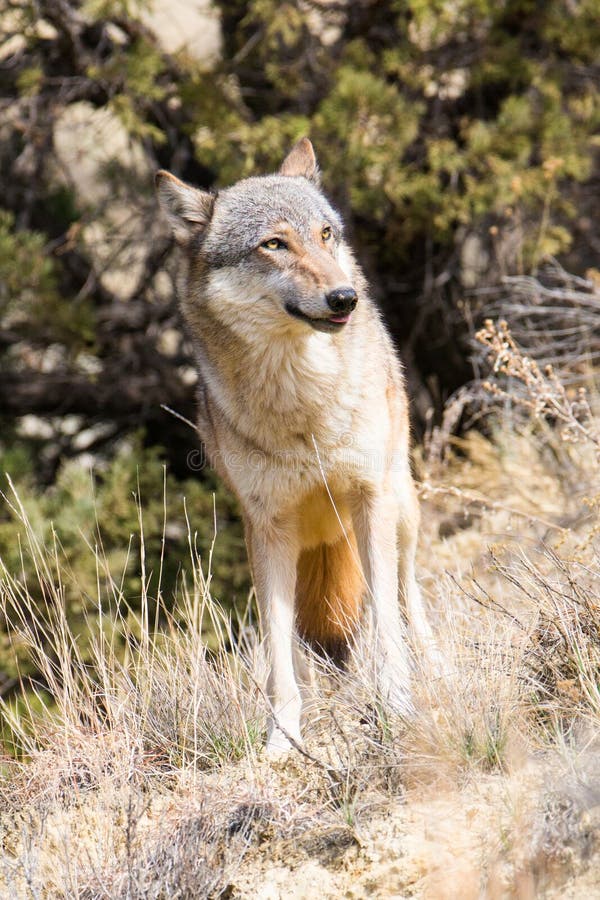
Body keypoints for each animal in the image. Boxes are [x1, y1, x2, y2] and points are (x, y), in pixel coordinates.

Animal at [156, 139, 436, 754]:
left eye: (325, 234)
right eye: (274, 244)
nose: (345, 297)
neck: (302, 406)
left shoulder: (370, 501)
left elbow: (386, 627)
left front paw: (398, 708)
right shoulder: (268, 527)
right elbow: (278, 660)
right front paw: (282, 742)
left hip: (401, 511)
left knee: (409, 603)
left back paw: (437, 671)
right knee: (296, 648)